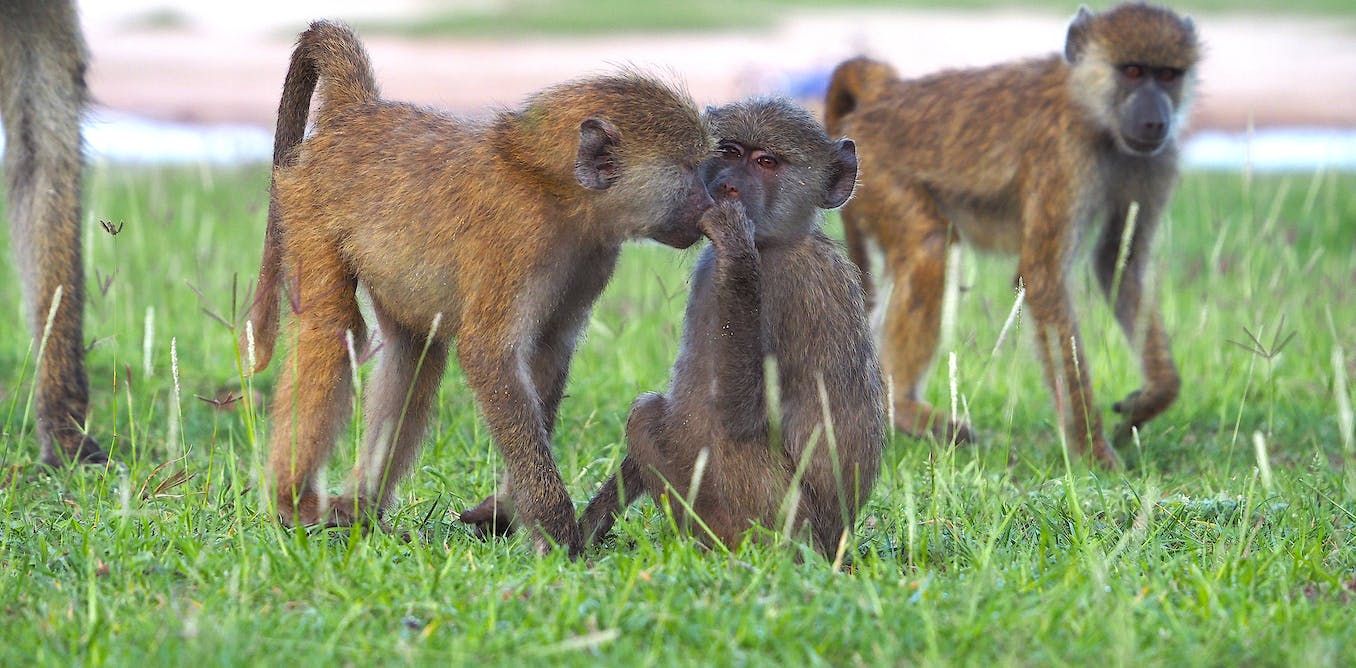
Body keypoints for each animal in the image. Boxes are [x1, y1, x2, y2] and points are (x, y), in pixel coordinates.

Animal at [242, 22, 713, 555]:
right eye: (691, 172)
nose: (711, 203)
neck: (556, 189)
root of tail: (354, 115)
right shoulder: (517, 242)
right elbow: (490, 356)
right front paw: (558, 534)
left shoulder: (593, 256)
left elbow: (546, 353)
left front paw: (503, 511)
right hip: (307, 207)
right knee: (331, 327)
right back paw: (293, 502)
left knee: (413, 350)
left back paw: (360, 508)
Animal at [578, 98, 885, 557]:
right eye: (730, 152)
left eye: (766, 162)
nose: (727, 188)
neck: (776, 244)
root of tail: (833, 544)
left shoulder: (792, 290)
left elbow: (743, 418)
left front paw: (736, 246)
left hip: (775, 521)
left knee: (661, 419)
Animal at [824, 3, 1198, 466]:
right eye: (1131, 71)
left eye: (1167, 75)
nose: (1154, 120)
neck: (1095, 116)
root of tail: (881, 98)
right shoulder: (1064, 153)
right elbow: (1043, 276)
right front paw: (1092, 451)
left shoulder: (1155, 160)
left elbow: (1118, 262)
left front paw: (1154, 396)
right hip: (874, 170)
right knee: (930, 245)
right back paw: (903, 407)